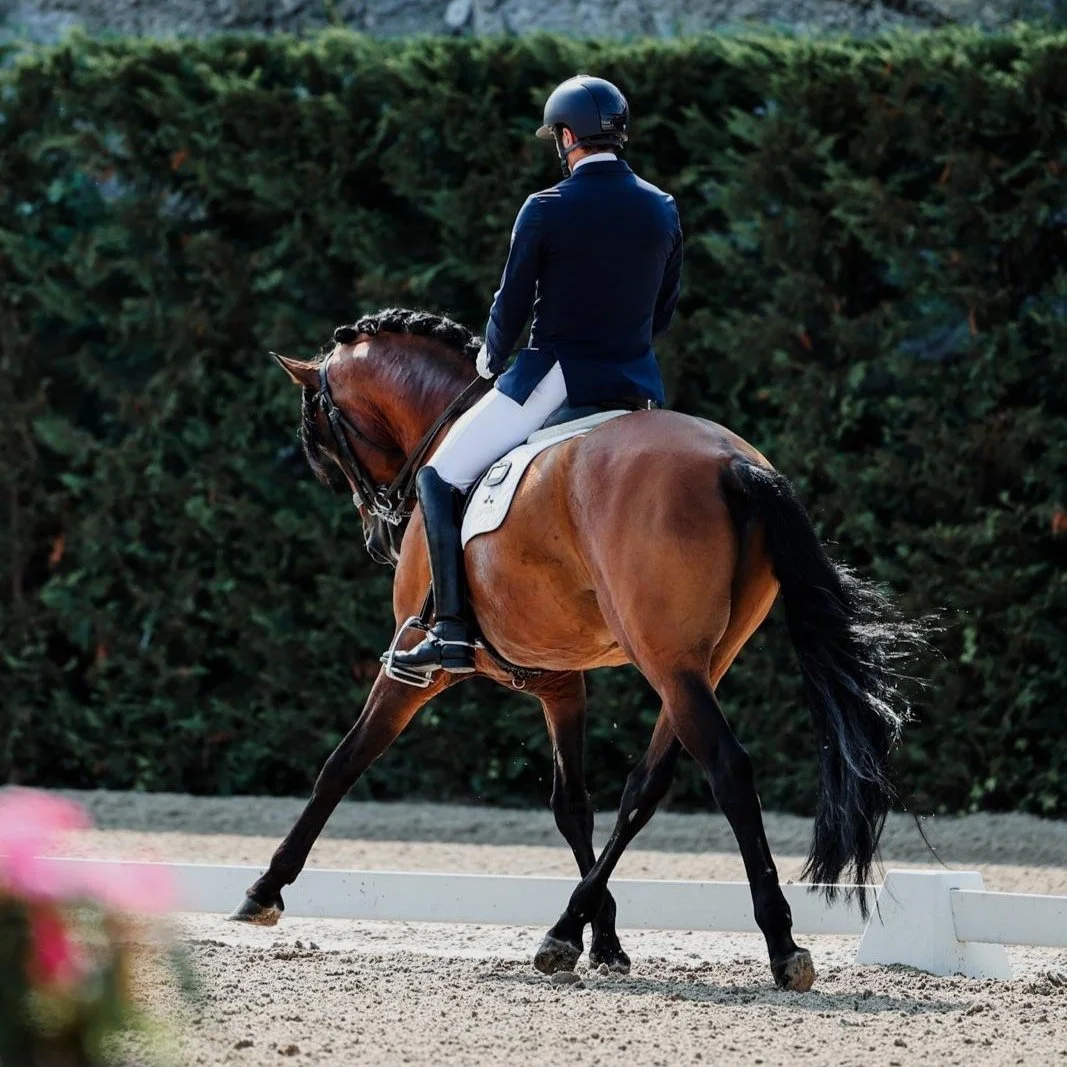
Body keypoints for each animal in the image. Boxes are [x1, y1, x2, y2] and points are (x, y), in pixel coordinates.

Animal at [230, 307, 923, 992]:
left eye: (322, 441)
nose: (380, 538)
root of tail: (732, 462)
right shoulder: (560, 681)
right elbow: (574, 805)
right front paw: (607, 939)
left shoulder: (411, 670)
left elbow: (341, 764)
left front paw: (264, 891)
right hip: (697, 664)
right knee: (646, 785)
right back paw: (566, 930)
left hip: (667, 663)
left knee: (727, 768)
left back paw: (779, 944)